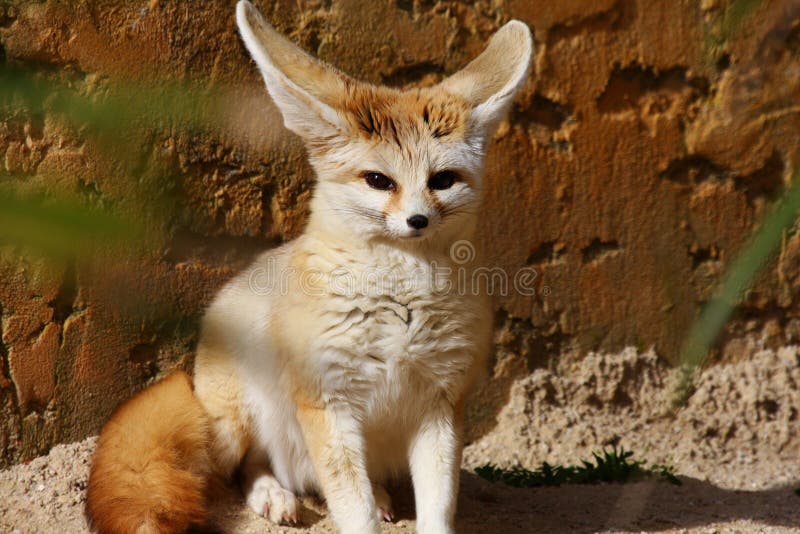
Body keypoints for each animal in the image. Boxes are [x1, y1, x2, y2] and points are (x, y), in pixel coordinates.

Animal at [85, 1, 533, 533]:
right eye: (379, 180)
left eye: (441, 180)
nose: (417, 220)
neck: (401, 304)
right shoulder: (328, 403)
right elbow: (353, 508)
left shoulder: (441, 407)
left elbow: (436, 506)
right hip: (236, 425)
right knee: (239, 471)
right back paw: (273, 494)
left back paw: (376, 493)